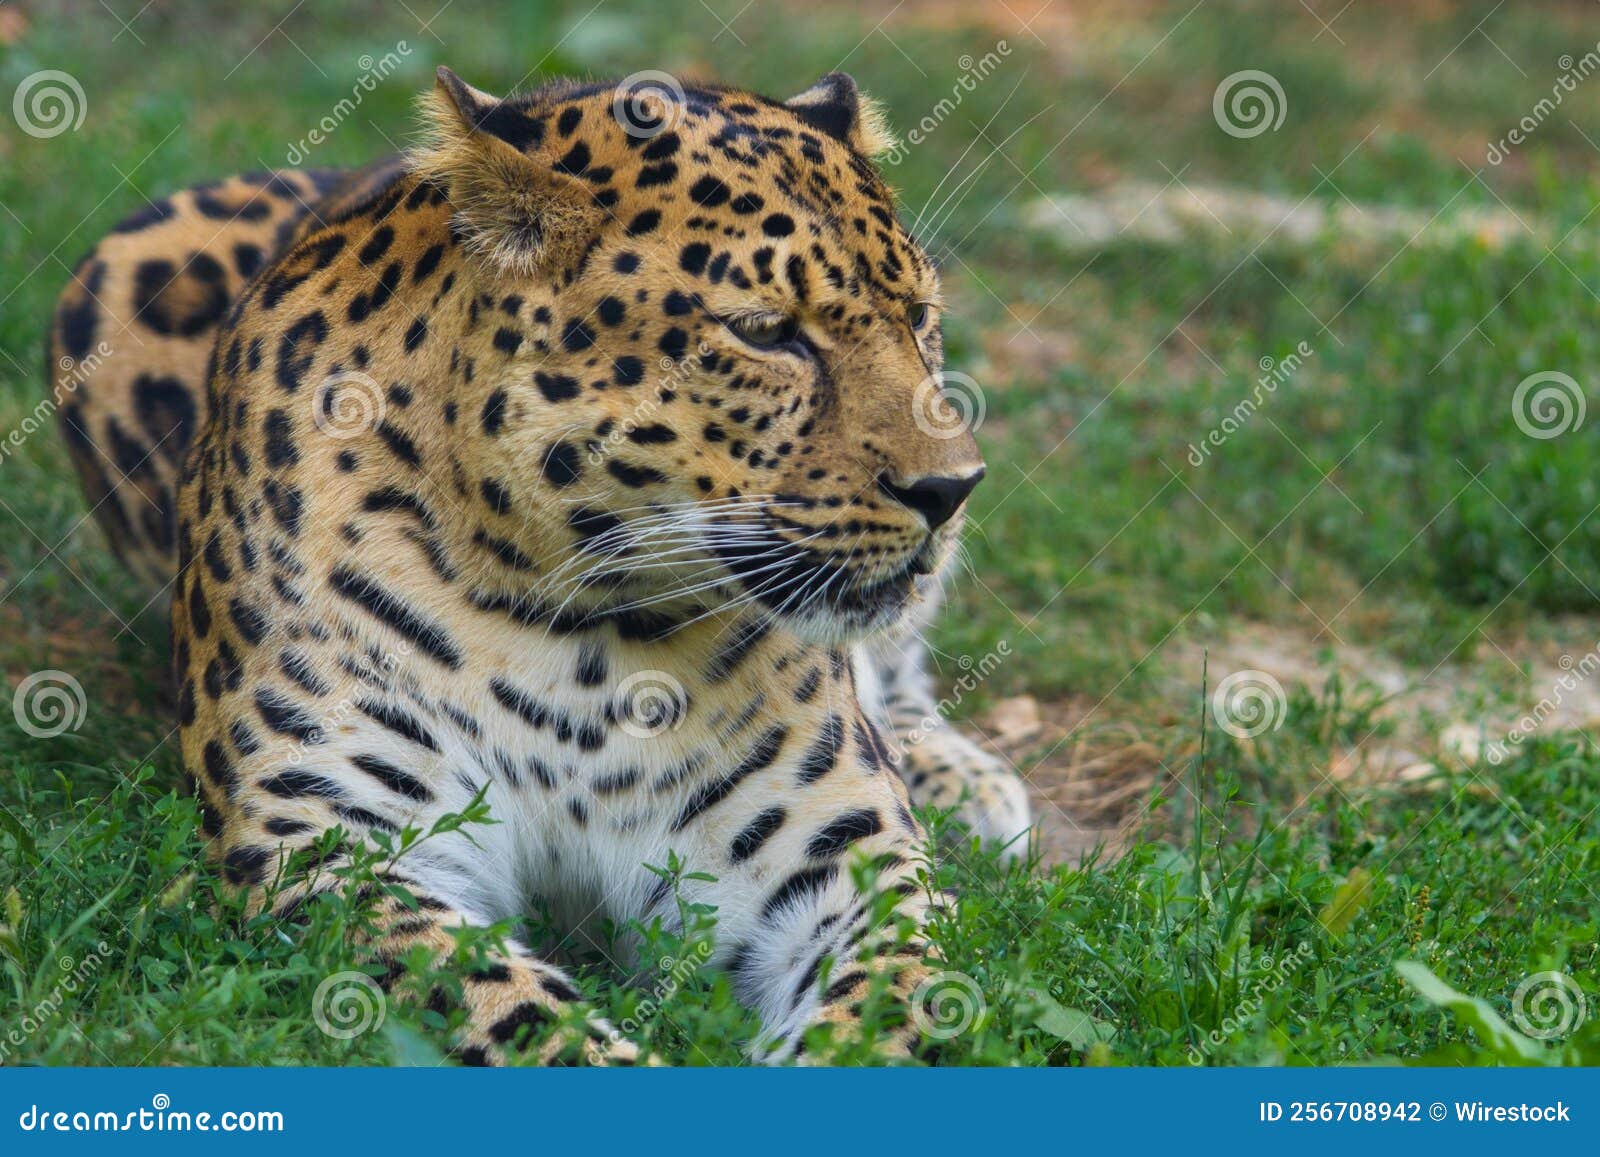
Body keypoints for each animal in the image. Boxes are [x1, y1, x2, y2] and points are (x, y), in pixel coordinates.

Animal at [47, 65, 1031, 1064]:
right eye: (765, 332)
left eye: (919, 318)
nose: (953, 488)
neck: (587, 623)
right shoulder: (326, 840)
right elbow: (511, 1010)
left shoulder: (835, 853)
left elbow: (896, 1002)